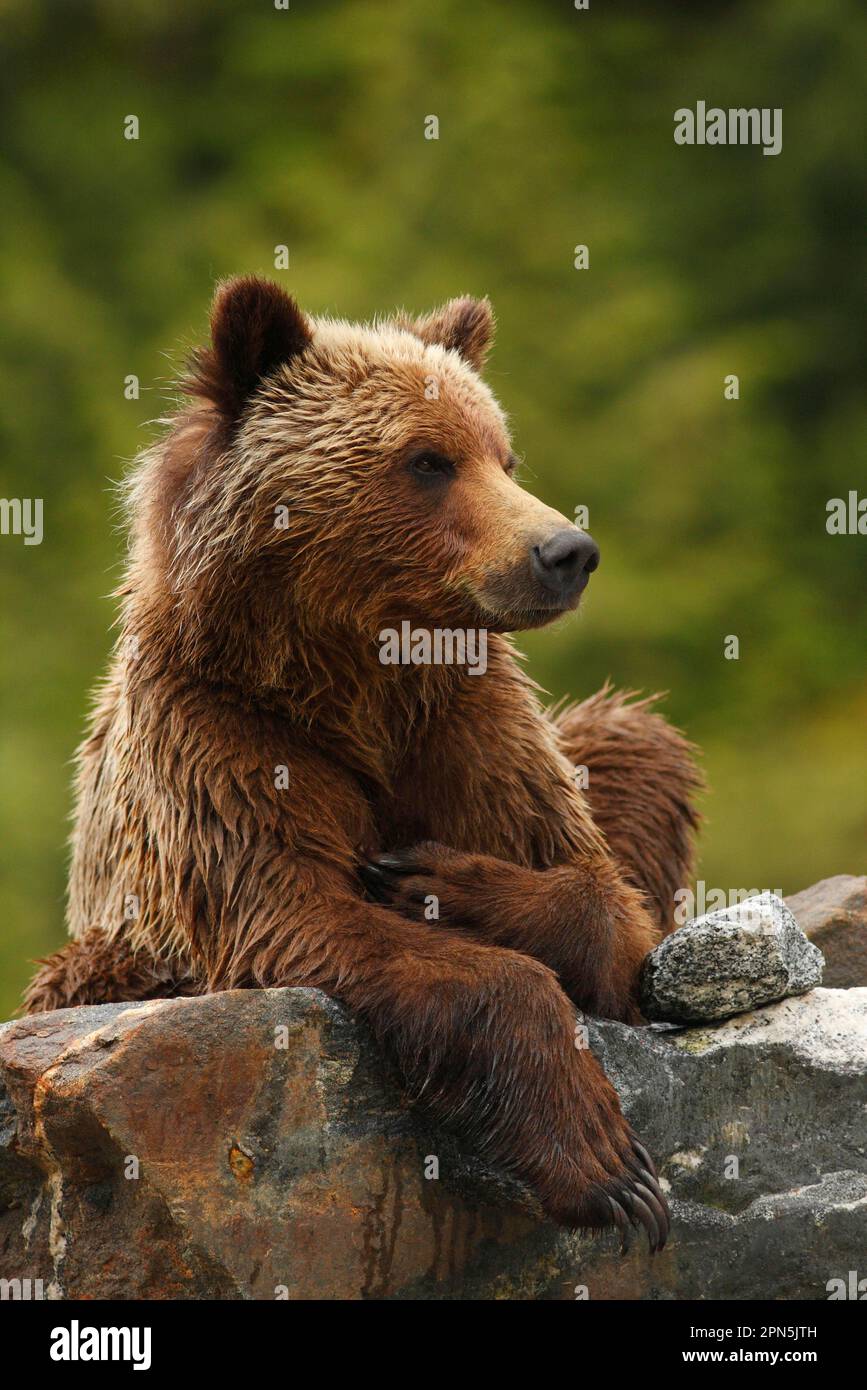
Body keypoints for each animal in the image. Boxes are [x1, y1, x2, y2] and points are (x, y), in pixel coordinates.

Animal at [25, 277, 702, 1250]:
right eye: (427, 460)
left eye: (503, 455)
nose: (565, 551)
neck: (353, 681)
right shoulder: (229, 744)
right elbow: (301, 912)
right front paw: (609, 1169)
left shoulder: (465, 724)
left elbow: (602, 898)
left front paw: (436, 880)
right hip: (104, 954)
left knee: (633, 742)